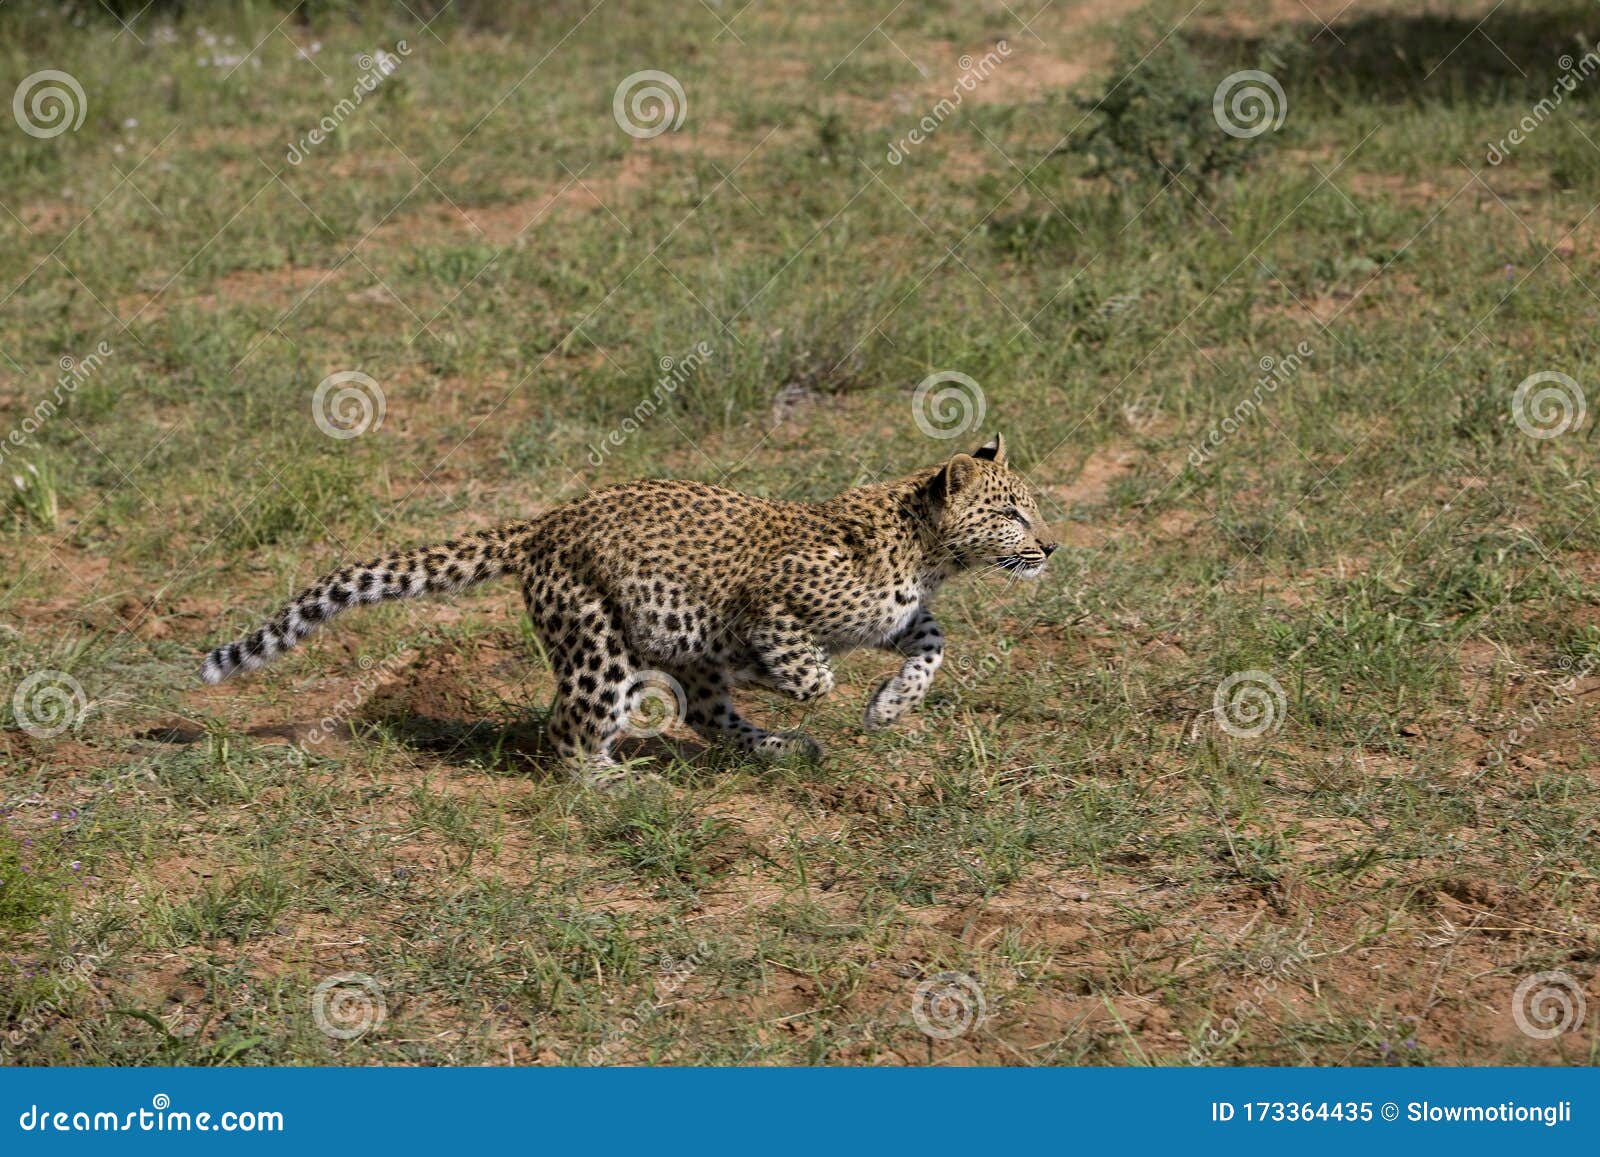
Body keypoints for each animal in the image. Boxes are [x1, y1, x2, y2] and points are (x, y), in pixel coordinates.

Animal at [199, 434, 1057, 789]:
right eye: (1011, 513)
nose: (1050, 545)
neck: (927, 550)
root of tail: (546, 521)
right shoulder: (770, 602)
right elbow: (809, 671)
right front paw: (802, 682)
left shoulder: (905, 619)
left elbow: (933, 645)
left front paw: (889, 705)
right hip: (594, 642)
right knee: (569, 734)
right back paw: (618, 783)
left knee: (706, 714)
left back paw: (778, 748)